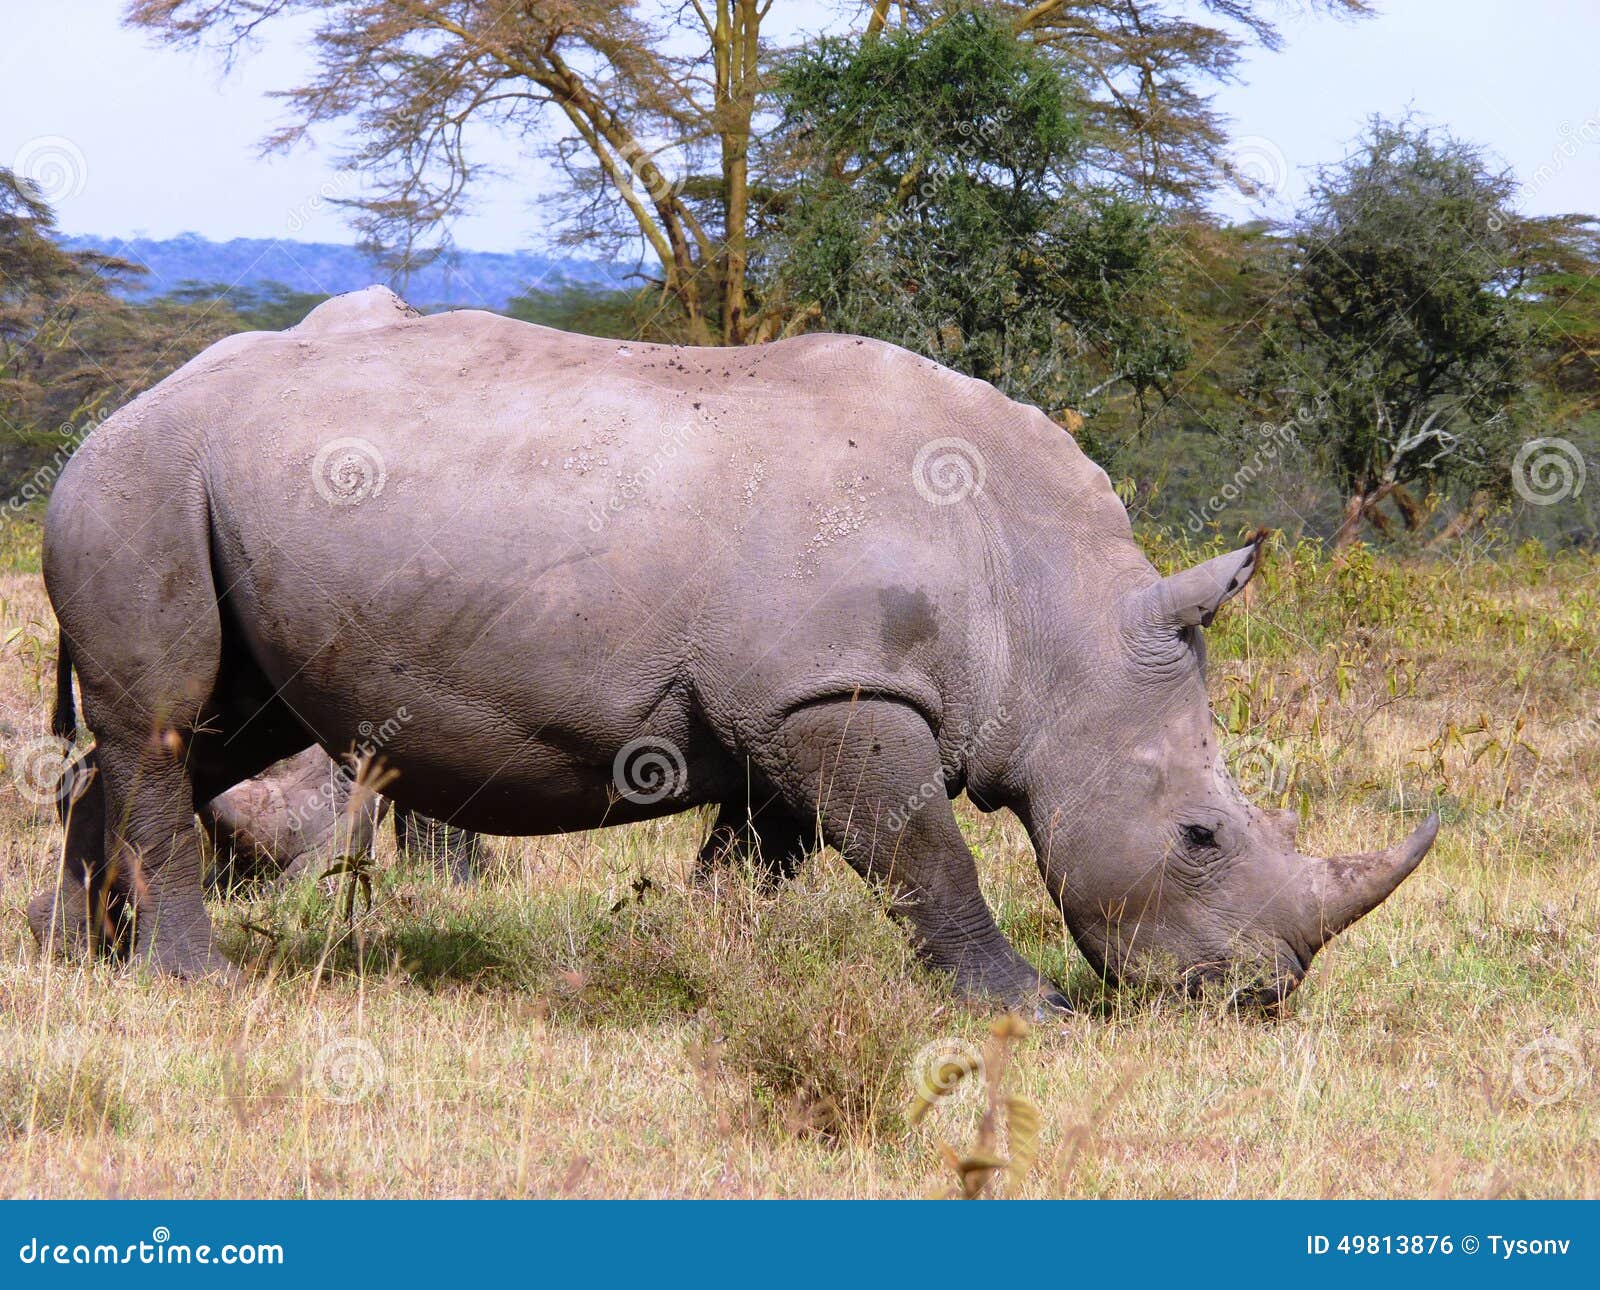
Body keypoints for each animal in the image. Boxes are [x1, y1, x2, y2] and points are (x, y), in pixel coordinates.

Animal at [30, 287, 1436, 1006]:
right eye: (1199, 837)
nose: (1258, 999)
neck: (1051, 608)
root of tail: (121, 406)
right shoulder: (843, 694)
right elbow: (925, 856)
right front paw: (1022, 1007)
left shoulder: (801, 701)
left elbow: (760, 863)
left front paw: (691, 966)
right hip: (146, 478)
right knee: (170, 723)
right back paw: (193, 983)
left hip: (216, 491)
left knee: (224, 727)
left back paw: (73, 951)